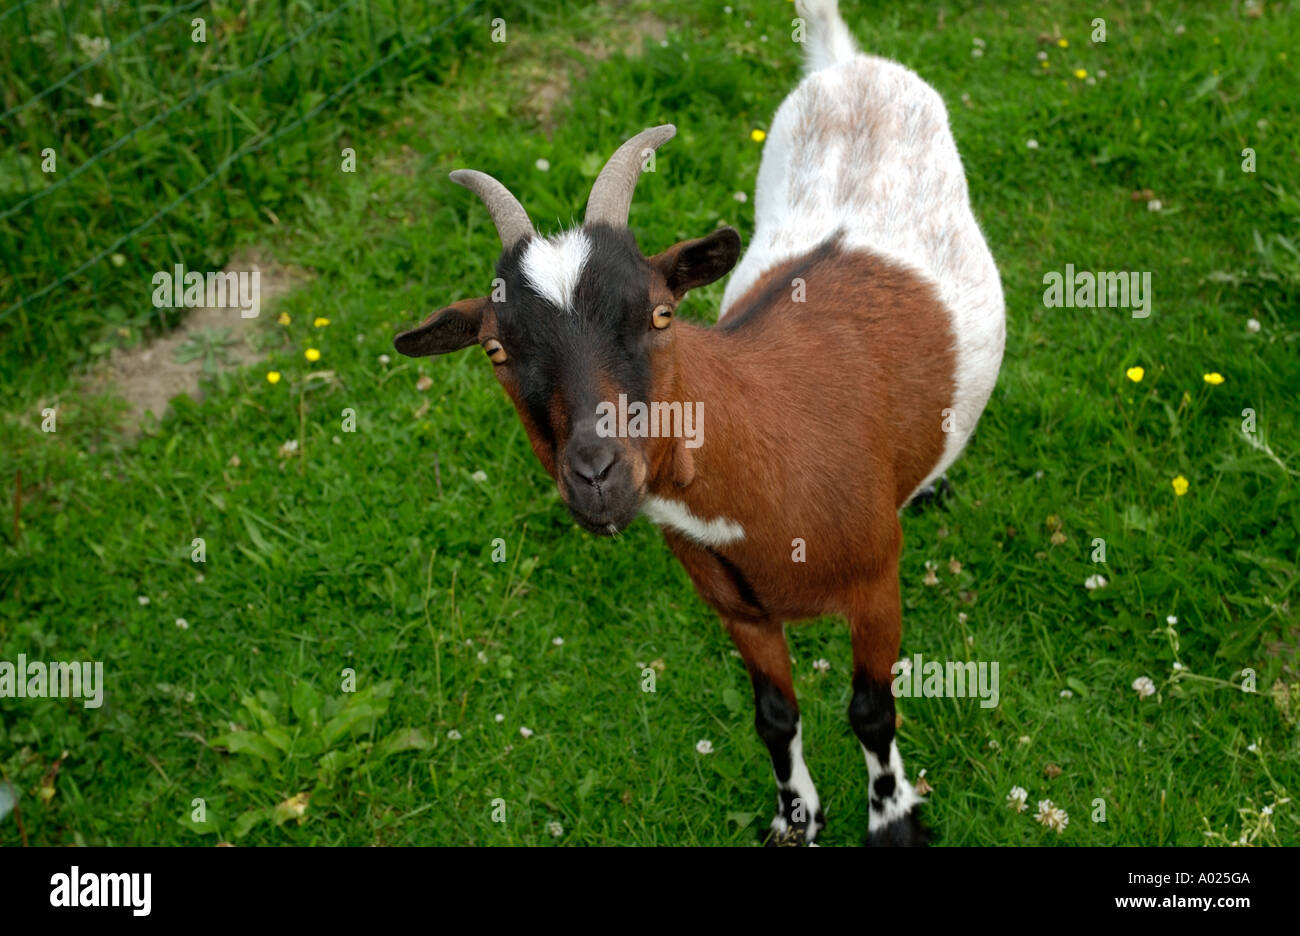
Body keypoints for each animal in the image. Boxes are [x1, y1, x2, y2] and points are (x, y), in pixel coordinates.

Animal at [395, 0, 1005, 845]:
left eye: (660, 313)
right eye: (494, 349)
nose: (596, 474)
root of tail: (842, 64)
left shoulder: (877, 582)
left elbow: (871, 711)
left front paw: (894, 820)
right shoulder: (735, 609)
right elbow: (775, 715)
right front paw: (795, 818)